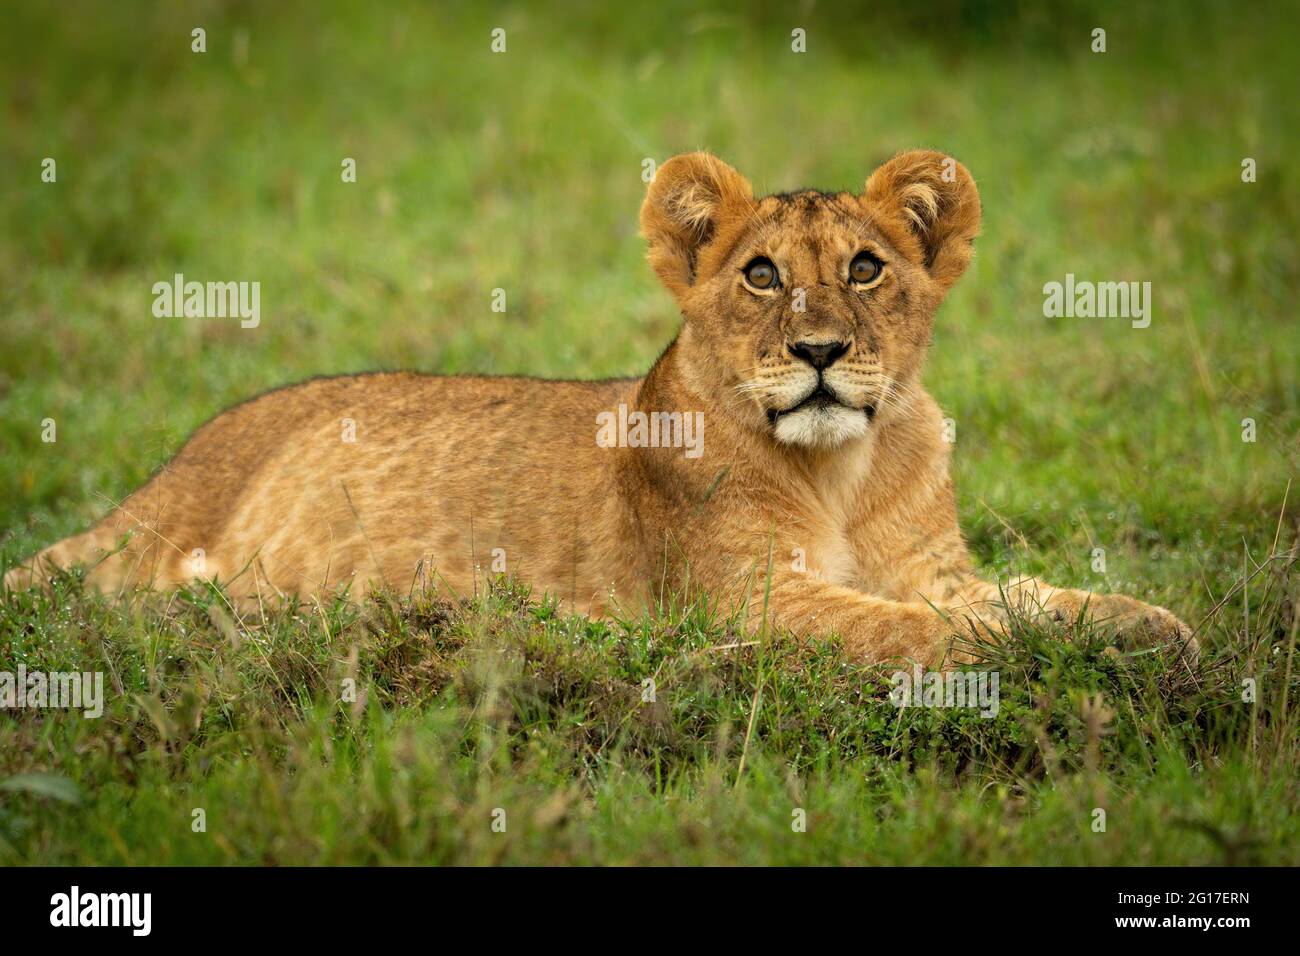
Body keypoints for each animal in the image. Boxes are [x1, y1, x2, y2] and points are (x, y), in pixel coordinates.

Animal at [4, 150, 1196, 667]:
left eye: (864, 268)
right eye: (761, 276)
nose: (818, 351)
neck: (843, 472)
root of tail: (194, 445)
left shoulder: (931, 564)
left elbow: (1021, 594)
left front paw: (1148, 624)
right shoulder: (745, 599)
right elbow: (913, 627)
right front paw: (1014, 651)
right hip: (143, 544)